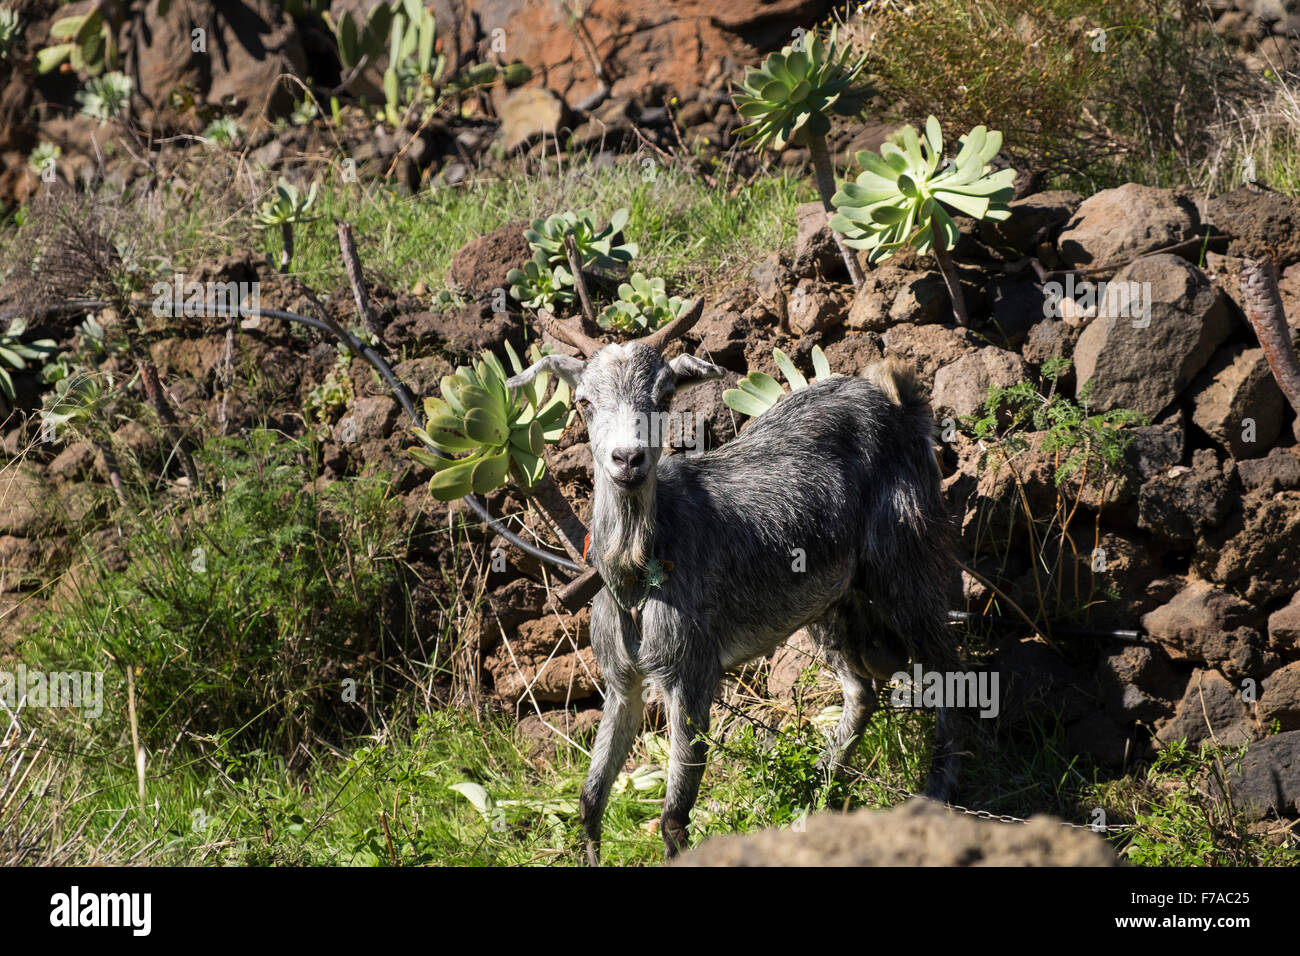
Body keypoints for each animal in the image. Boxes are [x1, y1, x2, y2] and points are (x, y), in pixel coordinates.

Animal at [507, 304, 962, 864]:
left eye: (664, 396)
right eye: (584, 402)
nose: (628, 459)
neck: (639, 571)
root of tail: (896, 401)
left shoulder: (692, 674)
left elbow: (672, 818)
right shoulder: (622, 680)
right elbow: (590, 800)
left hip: (905, 557)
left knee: (947, 668)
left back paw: (935, 792)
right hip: (831, 601)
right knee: (860, 691)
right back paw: (814, 799)